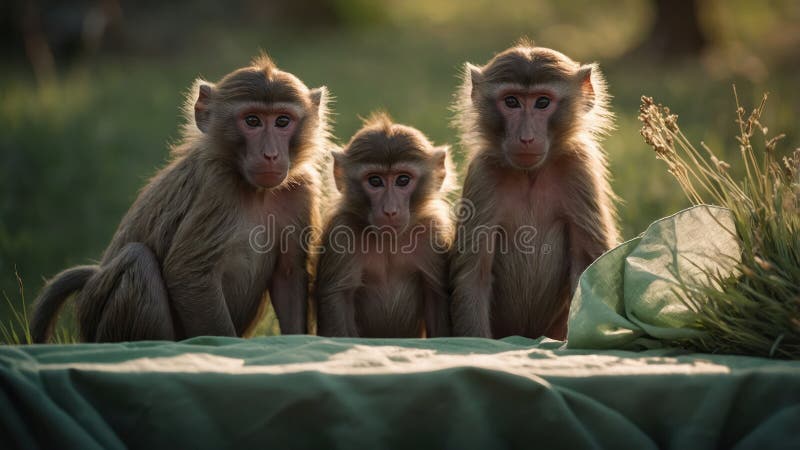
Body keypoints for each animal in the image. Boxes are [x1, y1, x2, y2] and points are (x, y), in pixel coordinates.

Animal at [30, 53, 331, 342]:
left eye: (282, 121)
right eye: (252, 121)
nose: (270, 154)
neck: (256, 192)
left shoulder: (301, 190)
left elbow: (289, 276)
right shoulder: (217, 187)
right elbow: (188, 274)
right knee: (138, 261)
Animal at [314, 113, 453, 338]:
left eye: (403, 180)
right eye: (375, 181)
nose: (390, 210)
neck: (388, 241)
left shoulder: (432, 232)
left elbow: (437, 295)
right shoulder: (342, 231)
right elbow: (338, 299)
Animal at [450, 42, 620, 340]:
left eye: (542, 102)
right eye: (511, 102)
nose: (526, 137)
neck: (529, 174)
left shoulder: (579, 167)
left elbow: (589, 265)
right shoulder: (483, 175)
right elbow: (473, 275)